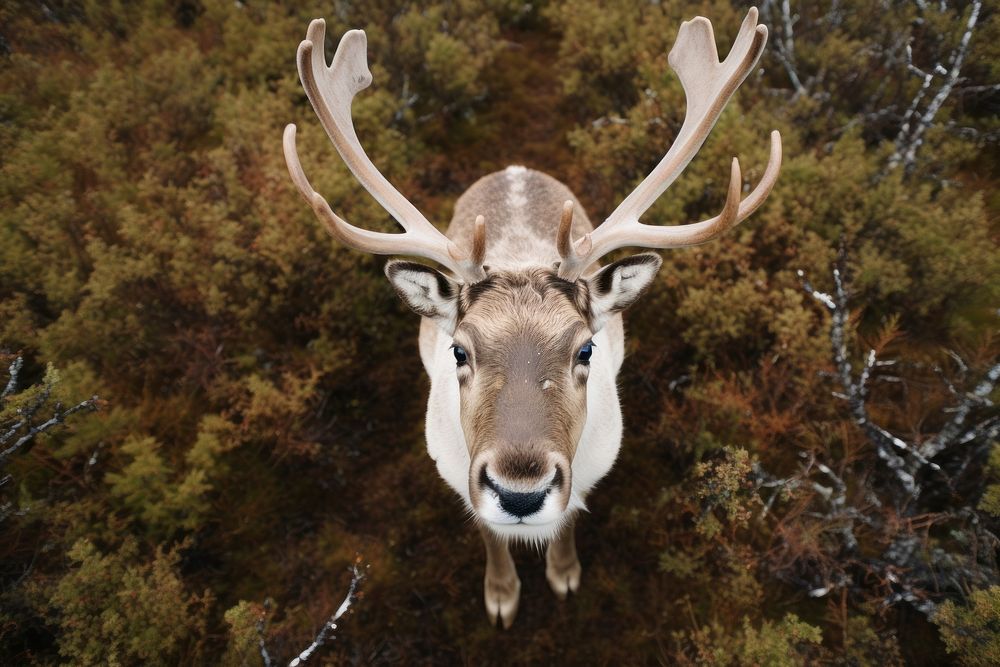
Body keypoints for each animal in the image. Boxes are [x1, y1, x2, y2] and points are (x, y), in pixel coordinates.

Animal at [283, 8, 780, 627]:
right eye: (459, 349)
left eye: (585, 348)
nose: (520, 492)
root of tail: (517, 167)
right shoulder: (457, 475)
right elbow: (489, 535)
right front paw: (502, 595)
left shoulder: (588, 472)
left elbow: (566, 523)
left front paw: (564, 575)